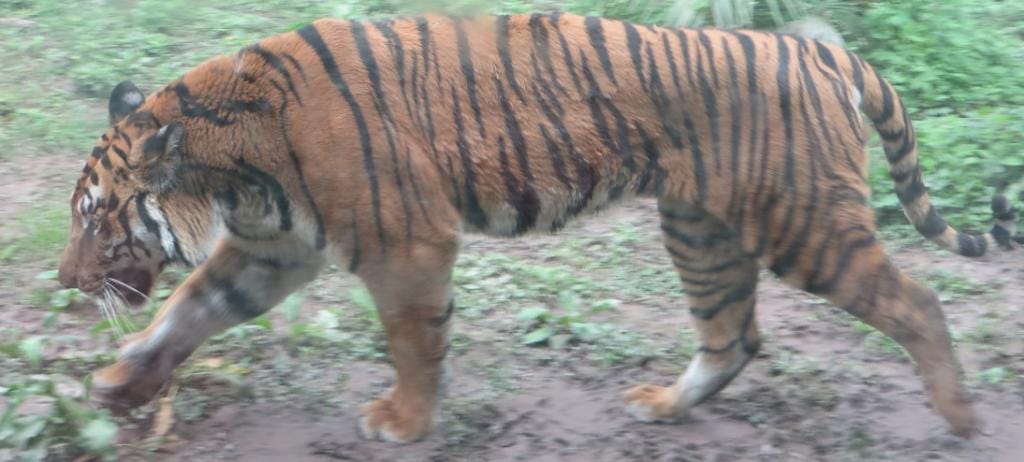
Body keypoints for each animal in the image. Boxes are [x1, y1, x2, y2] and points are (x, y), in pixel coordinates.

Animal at [56, 13, 1018, 443]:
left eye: (98, 219)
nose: (65, 282)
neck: (232, 163)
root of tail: (817, 46)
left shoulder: (406, 245)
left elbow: (413, 343)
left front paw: (402, 422)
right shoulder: (270, 248)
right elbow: (186, 312)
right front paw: (120, 387)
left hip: (803, 224)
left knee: (917, 303)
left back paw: (963, 418)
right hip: (701, 230)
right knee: (734, 336)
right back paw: (662, 406)